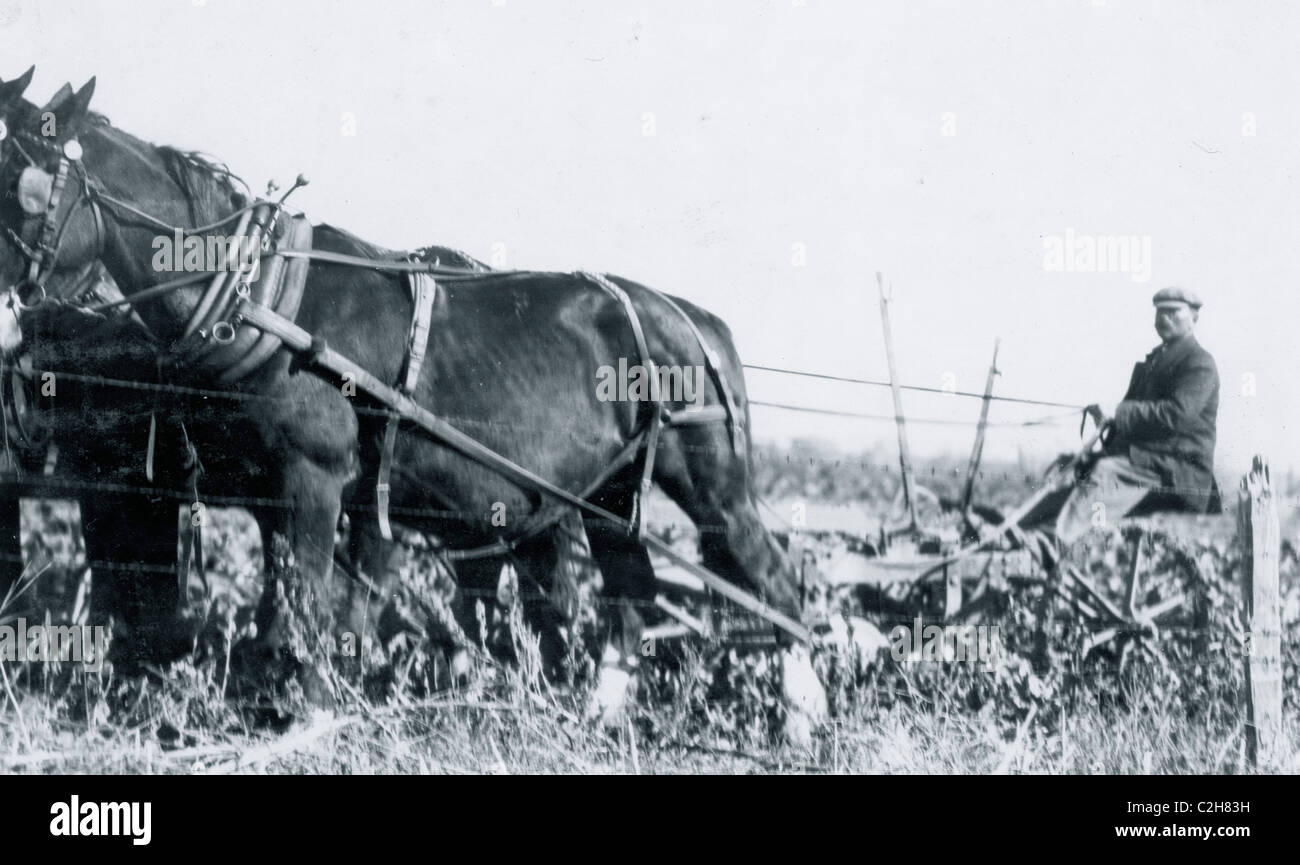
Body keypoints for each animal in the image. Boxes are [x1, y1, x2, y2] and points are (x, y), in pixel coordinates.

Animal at [0, 70, 827, 738]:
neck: (262, 295)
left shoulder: (315, 474)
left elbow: (310, 595)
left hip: (709, 478)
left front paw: (305, 708)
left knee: (773, 573)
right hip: (608, 491)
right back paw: (599, 713)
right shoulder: (282, 492)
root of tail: (694, 317)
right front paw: (276, 698)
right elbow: (291, 597)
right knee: (631, 590)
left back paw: (801, 713)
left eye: (21, 189)